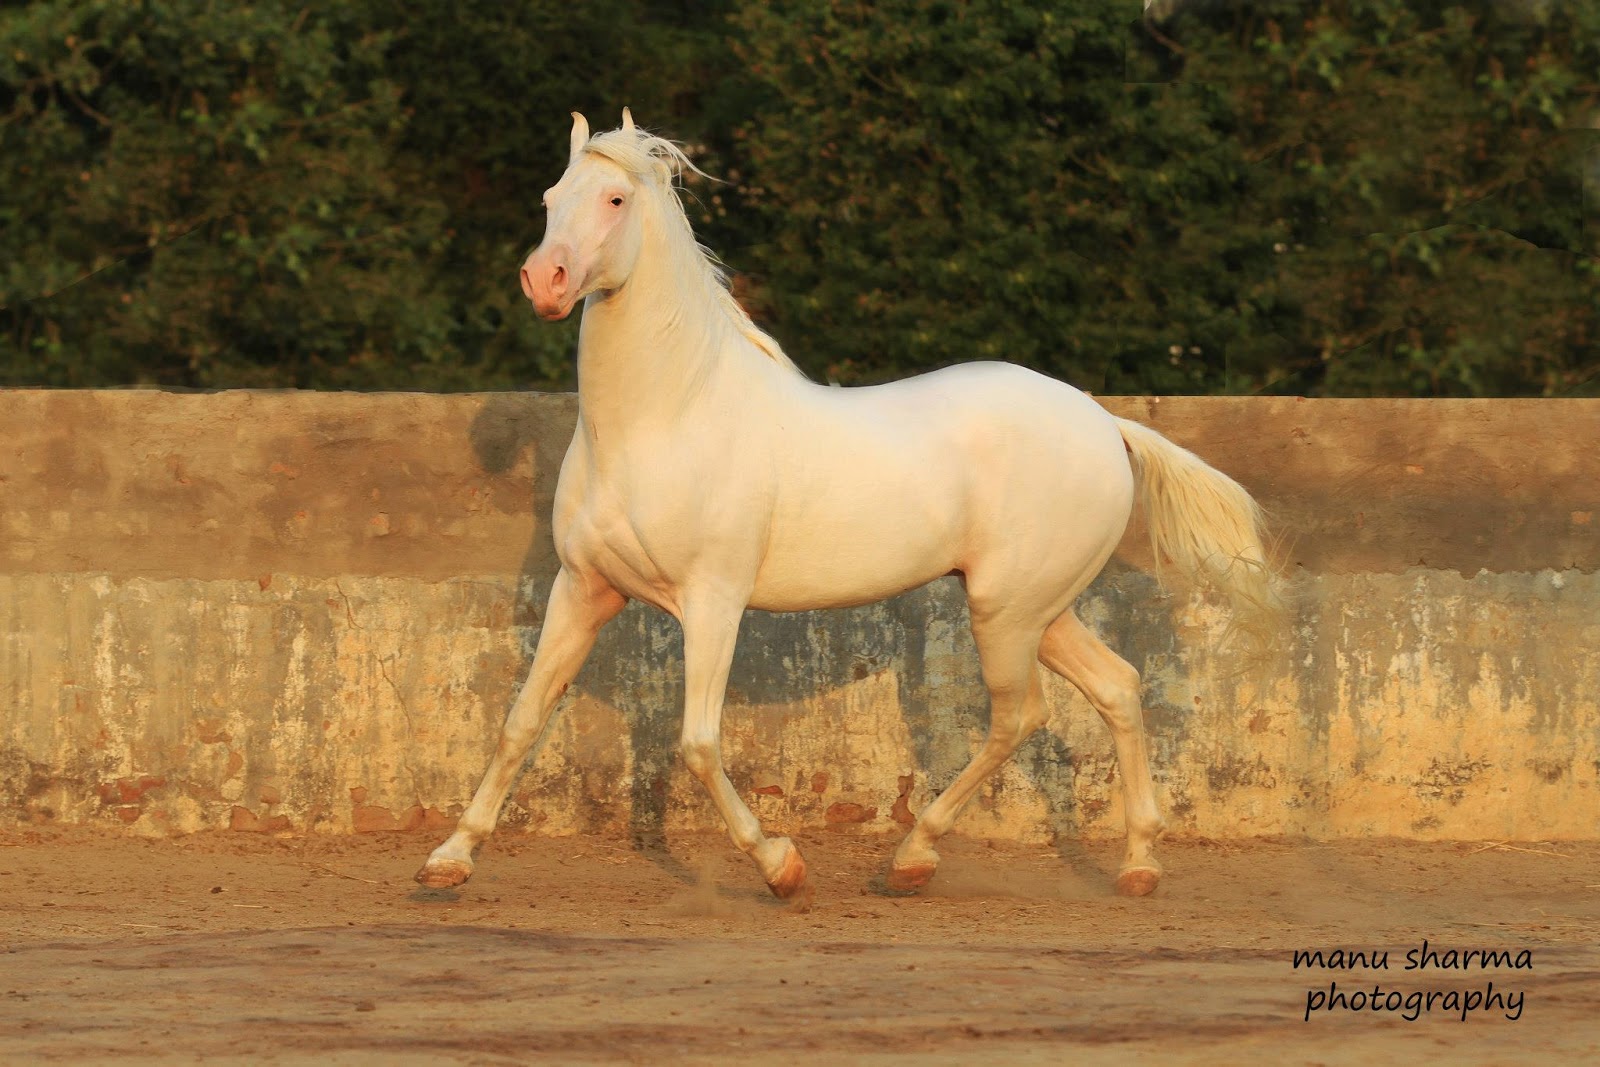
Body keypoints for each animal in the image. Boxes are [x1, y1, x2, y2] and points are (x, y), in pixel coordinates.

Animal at [416, 110, 1283, 899]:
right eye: (550, 197)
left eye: (617, 199)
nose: (546, 282)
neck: (663, 419)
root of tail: (1105, 422)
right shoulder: (584, 590)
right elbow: (521, 720)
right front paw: (449, 860)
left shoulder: (712, 600)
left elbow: (698, 743)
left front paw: (782, 865)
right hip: (1039, 608)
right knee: (1118, 686)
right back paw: (1137, 864)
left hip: (1007, 612)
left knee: (1021, 715)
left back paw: (912, 857)